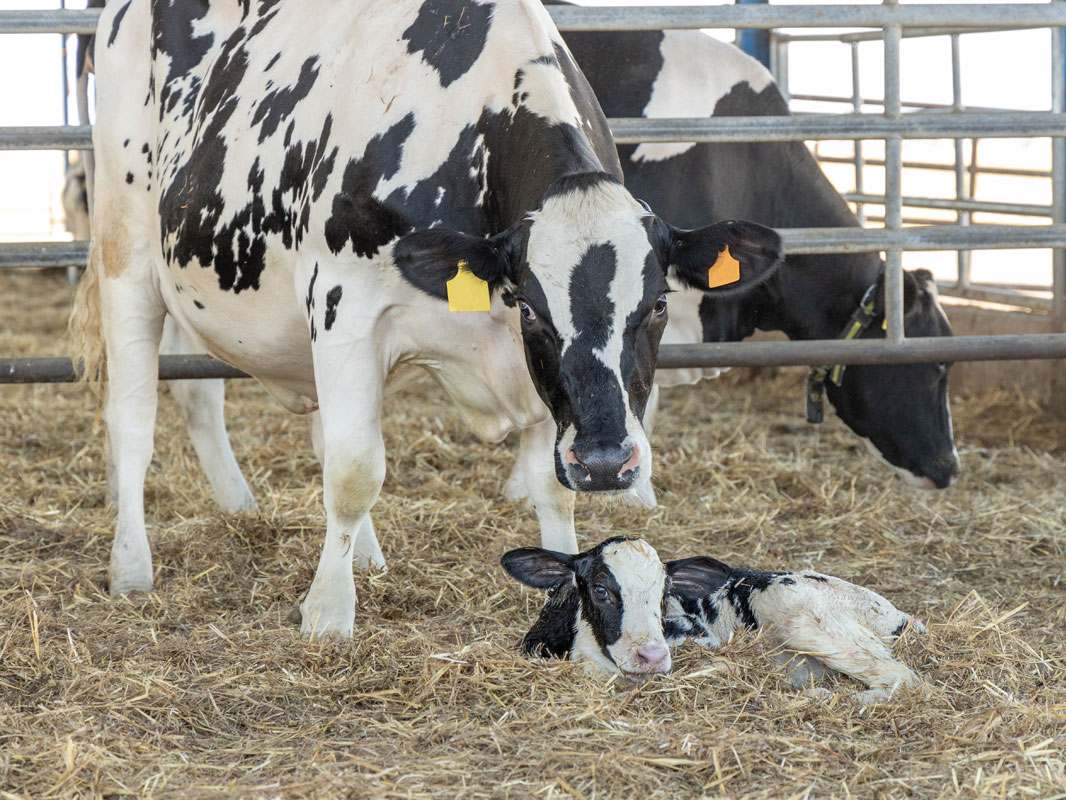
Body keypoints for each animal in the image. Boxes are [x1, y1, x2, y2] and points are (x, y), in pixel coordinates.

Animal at [71, 0, 781, 637]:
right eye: (532, 307)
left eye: (657, 304)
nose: (607, 462)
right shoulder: (345, 306)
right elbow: (355, 471)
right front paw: (328, 612)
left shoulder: (535, 382)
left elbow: (549, 486)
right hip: (126, 251)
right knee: (134, 419)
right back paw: (131, 566)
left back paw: (349, 549)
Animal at [502, 536, 924, 702]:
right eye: (600, 590)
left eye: (664, 594)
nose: (652, 656)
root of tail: (902, 616)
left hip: (803, 620)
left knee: (905, 678)